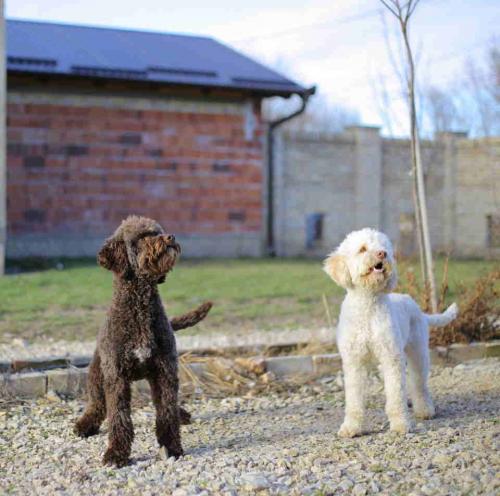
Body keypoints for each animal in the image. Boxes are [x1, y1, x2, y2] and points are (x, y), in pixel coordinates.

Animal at [75, 216, 212, 464]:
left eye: (157, 231)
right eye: (140, 237)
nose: (170, 237)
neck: (140, 305)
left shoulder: (165, 371)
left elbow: (166, 412)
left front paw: (171, 447)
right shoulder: (117, 376)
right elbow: (119, 416)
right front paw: (116, 453)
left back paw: (181, 414)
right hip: (97, 376)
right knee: (97, 405)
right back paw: (85, 424)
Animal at [324, 227, 458, 436]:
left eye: (384, 247)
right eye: (362, 249)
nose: (382, 254)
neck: (368, 305)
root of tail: (419, 310)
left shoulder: (391, 357)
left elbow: (396, 395)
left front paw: (401, 425)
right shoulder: (354, 362)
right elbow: (354, 399)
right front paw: (351, 428)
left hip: (418, 352)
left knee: (419, 384)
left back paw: (425, 410)